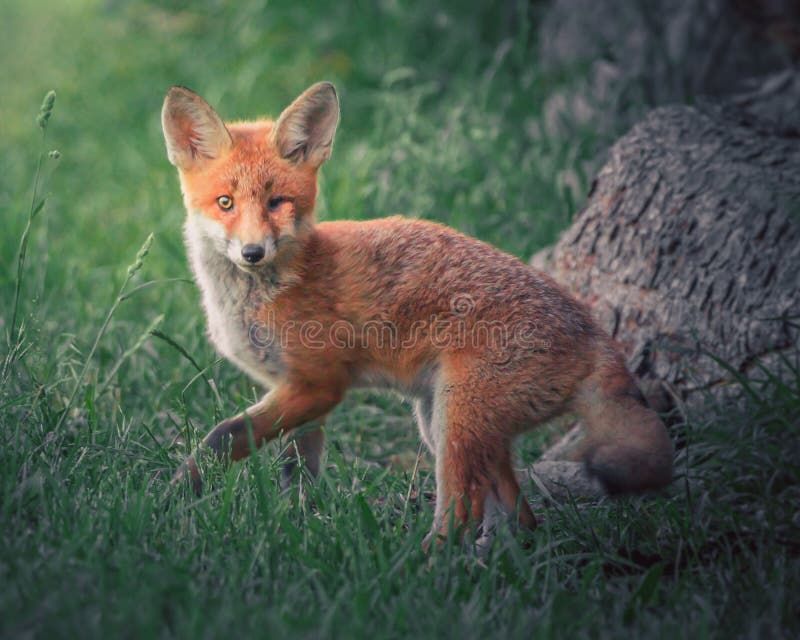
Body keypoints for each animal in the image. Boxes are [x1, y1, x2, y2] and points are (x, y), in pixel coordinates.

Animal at [161, 82, 673, 548]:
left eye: (277, 202)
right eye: (225, 203)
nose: (252, 252)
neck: (271, 289)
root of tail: (596, 334)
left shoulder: (319, 384)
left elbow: (224, 435)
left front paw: (172, 494)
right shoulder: (300, 398)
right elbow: (298, 475)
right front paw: (295, 526)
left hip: (456, 425)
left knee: (461, 513)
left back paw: (421, 568)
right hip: (448, 424)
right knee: (520, 515)